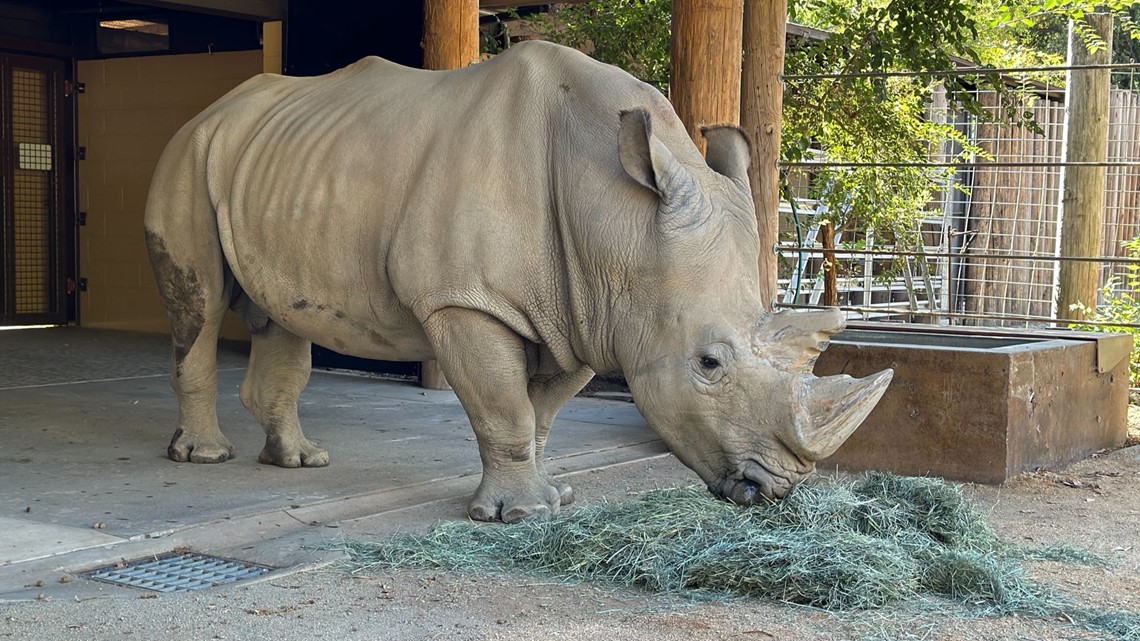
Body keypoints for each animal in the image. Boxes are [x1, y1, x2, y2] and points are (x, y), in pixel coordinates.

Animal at [144, 40, 892, 523]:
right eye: (709, 363)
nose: (779, 487)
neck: (618, 221)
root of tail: (211, 111)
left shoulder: (585, 311)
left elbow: (541, 412)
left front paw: (553, 497)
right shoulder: (468, 301)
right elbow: (502, 404)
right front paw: (520, 516)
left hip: (276, 161)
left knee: (280, 314)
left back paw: (300, 461)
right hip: (186, 154)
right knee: (198, 305)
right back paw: (205, 456)